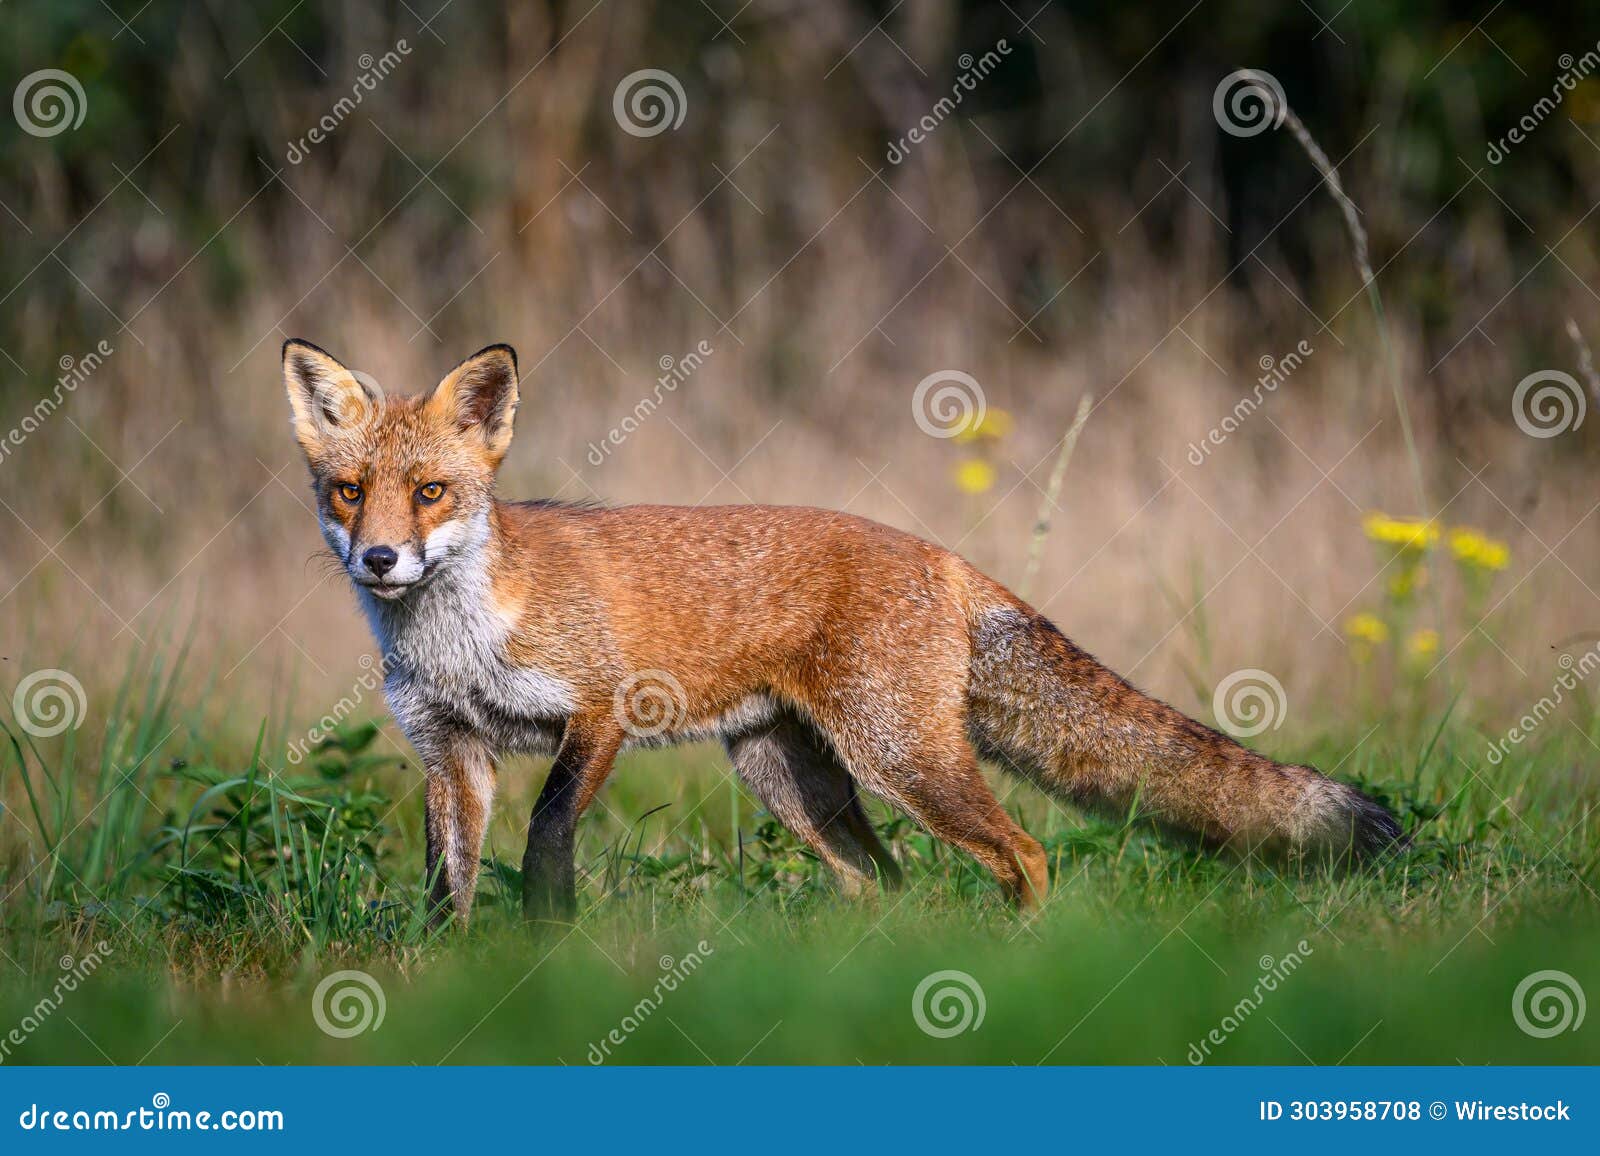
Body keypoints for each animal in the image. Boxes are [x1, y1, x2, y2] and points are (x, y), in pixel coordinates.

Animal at [281, 338, 1403, 925]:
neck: (457, 637)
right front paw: (459, 975)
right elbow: (446, 884)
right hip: (789, 778)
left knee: (1025, 853)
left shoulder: (597, 713)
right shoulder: (451, 749)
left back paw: (1026, 957)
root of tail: (938, 552)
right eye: (350, 492)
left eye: (431, 493)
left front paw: (545, 955)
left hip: (898, 760)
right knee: (884, 888)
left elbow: (548, 841)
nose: (380, 561)